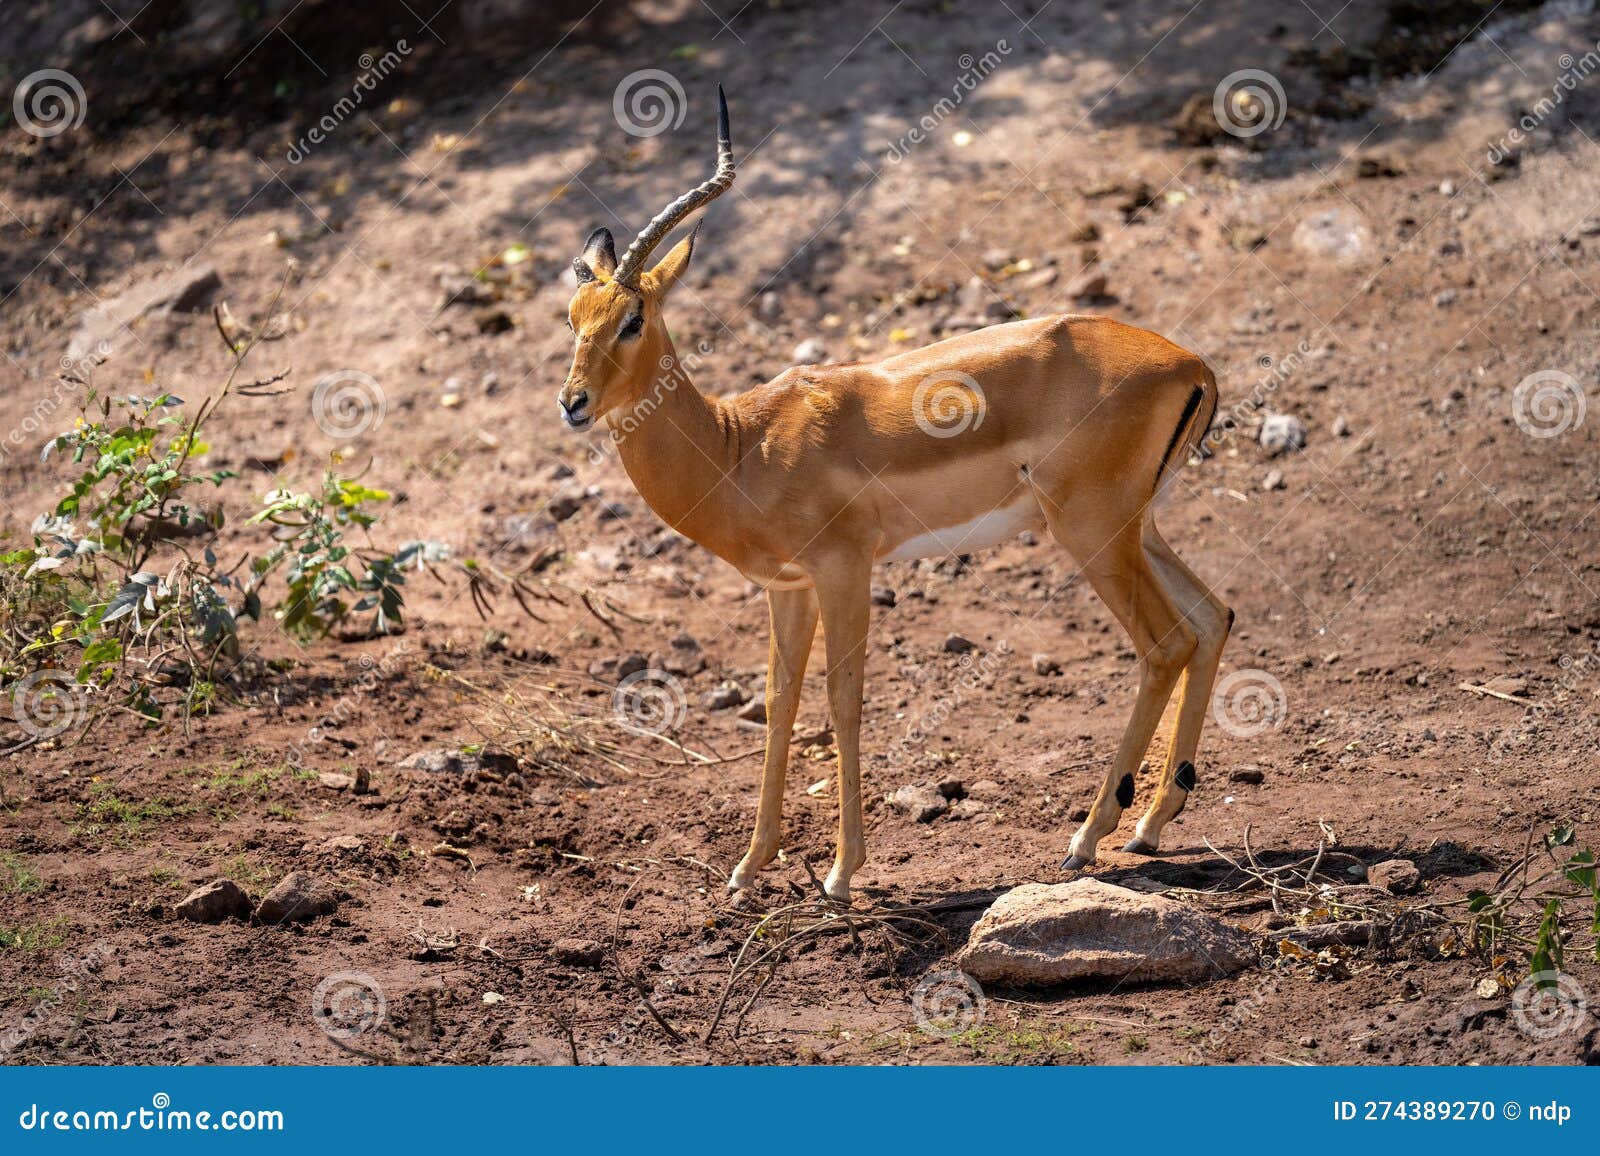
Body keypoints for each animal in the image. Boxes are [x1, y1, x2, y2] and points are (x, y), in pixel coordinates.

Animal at [558, 87, 1231, 902]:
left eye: (633, 319)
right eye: (573, 318)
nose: (573, 403)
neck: (740, 446)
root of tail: (1190, 363)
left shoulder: (846, 569)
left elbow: (842, 699)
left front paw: (841, 872)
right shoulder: (786, 588)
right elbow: (780, 703)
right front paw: (749, 867)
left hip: (1091, 533)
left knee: (1165, 644)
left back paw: (1086, 838)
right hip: (1138, 527)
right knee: (1212, 616)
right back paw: (1150, 824)